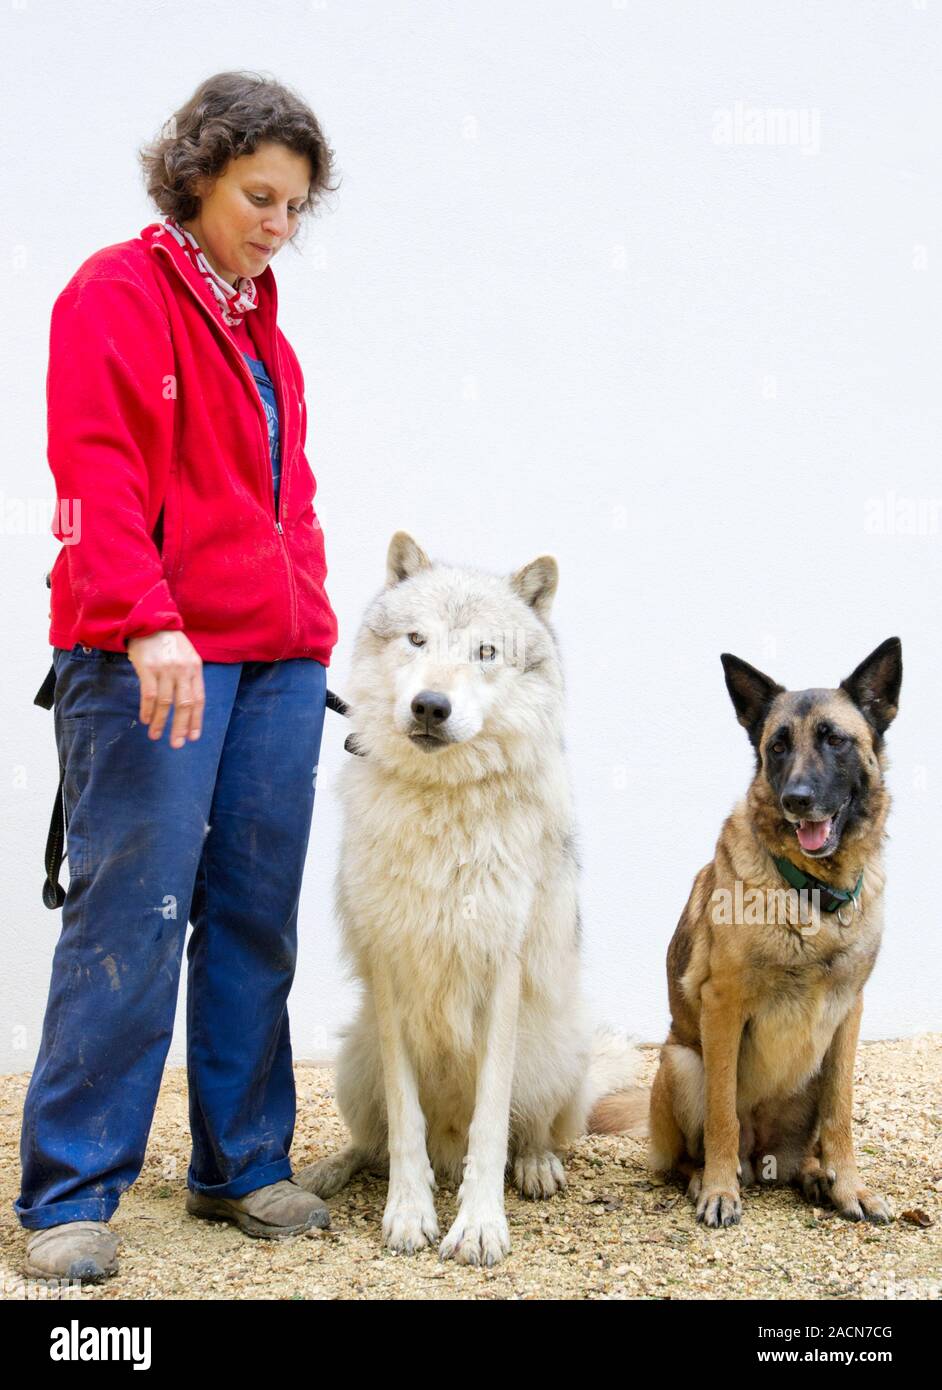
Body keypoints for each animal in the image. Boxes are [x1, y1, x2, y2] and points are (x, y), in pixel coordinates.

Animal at [295, 532, 644, 1265]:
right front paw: (408, 1214)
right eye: (417, 640)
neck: (443, 800)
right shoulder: (391, 972)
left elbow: (490, 1126)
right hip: (354, 1059)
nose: (430, 705)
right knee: (373, 1145)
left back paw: (536, 1167)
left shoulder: (501, 972)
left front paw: (480, 1227)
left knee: (528, 1132)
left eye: (486, 652)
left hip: (554, 1052)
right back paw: (322, 1174)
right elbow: (404, 1128)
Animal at [593, 638, 902, 1228]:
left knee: (809, 1146)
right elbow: (721, 1115)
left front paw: (850, 1186)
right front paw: (718, 1190)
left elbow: (841, 1114)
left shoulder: (850, 1012)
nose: (797, 799)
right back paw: (707, 1178)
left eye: (835, 740)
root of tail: (765, 1158)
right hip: (680, 1062)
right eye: (777, 746)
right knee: (694, 1150)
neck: (813, 895)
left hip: (809, 1075)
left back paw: (817, 1177)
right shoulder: (722, 1007)